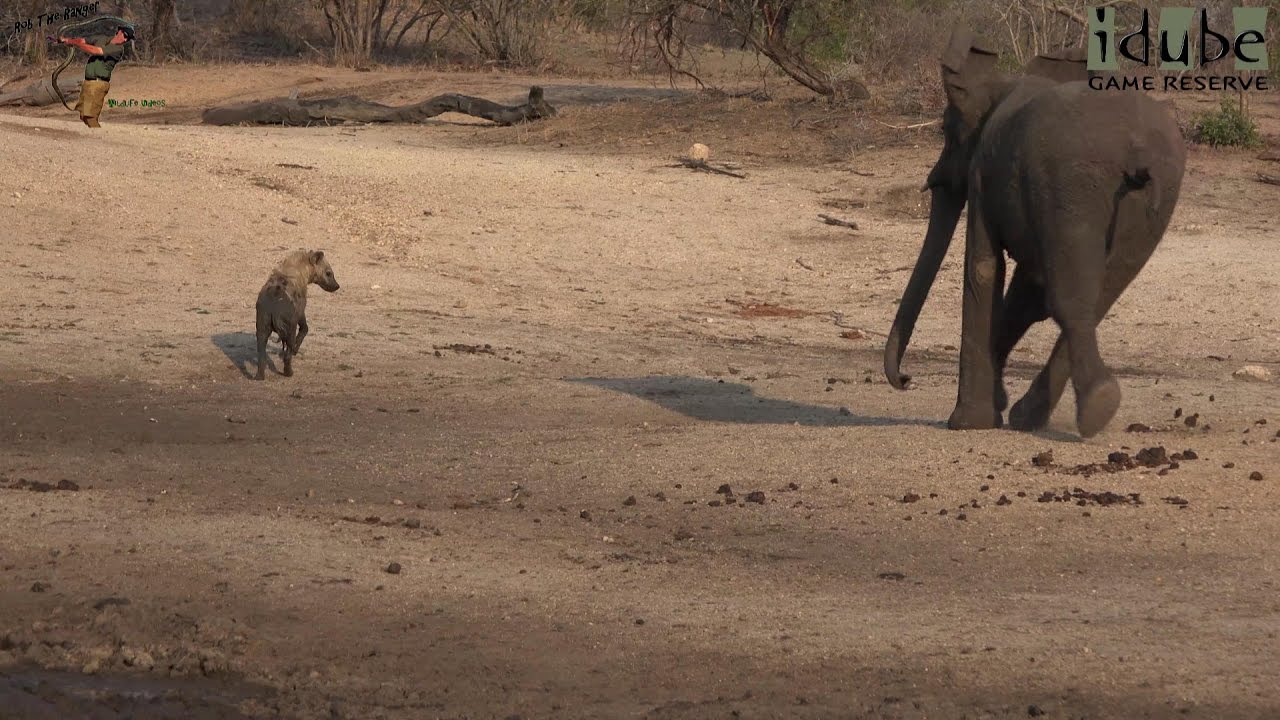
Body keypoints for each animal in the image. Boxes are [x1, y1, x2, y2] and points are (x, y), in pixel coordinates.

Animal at [883, 27, 1186, 439]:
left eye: (946, 131)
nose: (906, 379)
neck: (1005, 81)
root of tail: (1137, 149)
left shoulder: (983, 175)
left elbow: (984, 268)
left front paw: (968, 423)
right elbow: (1028, 291)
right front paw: (995, 405)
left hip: (1071, 183)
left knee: (1071, 298)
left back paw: (1090, 407)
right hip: (1144, 204)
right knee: (1099, 293)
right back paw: (1045, 415)